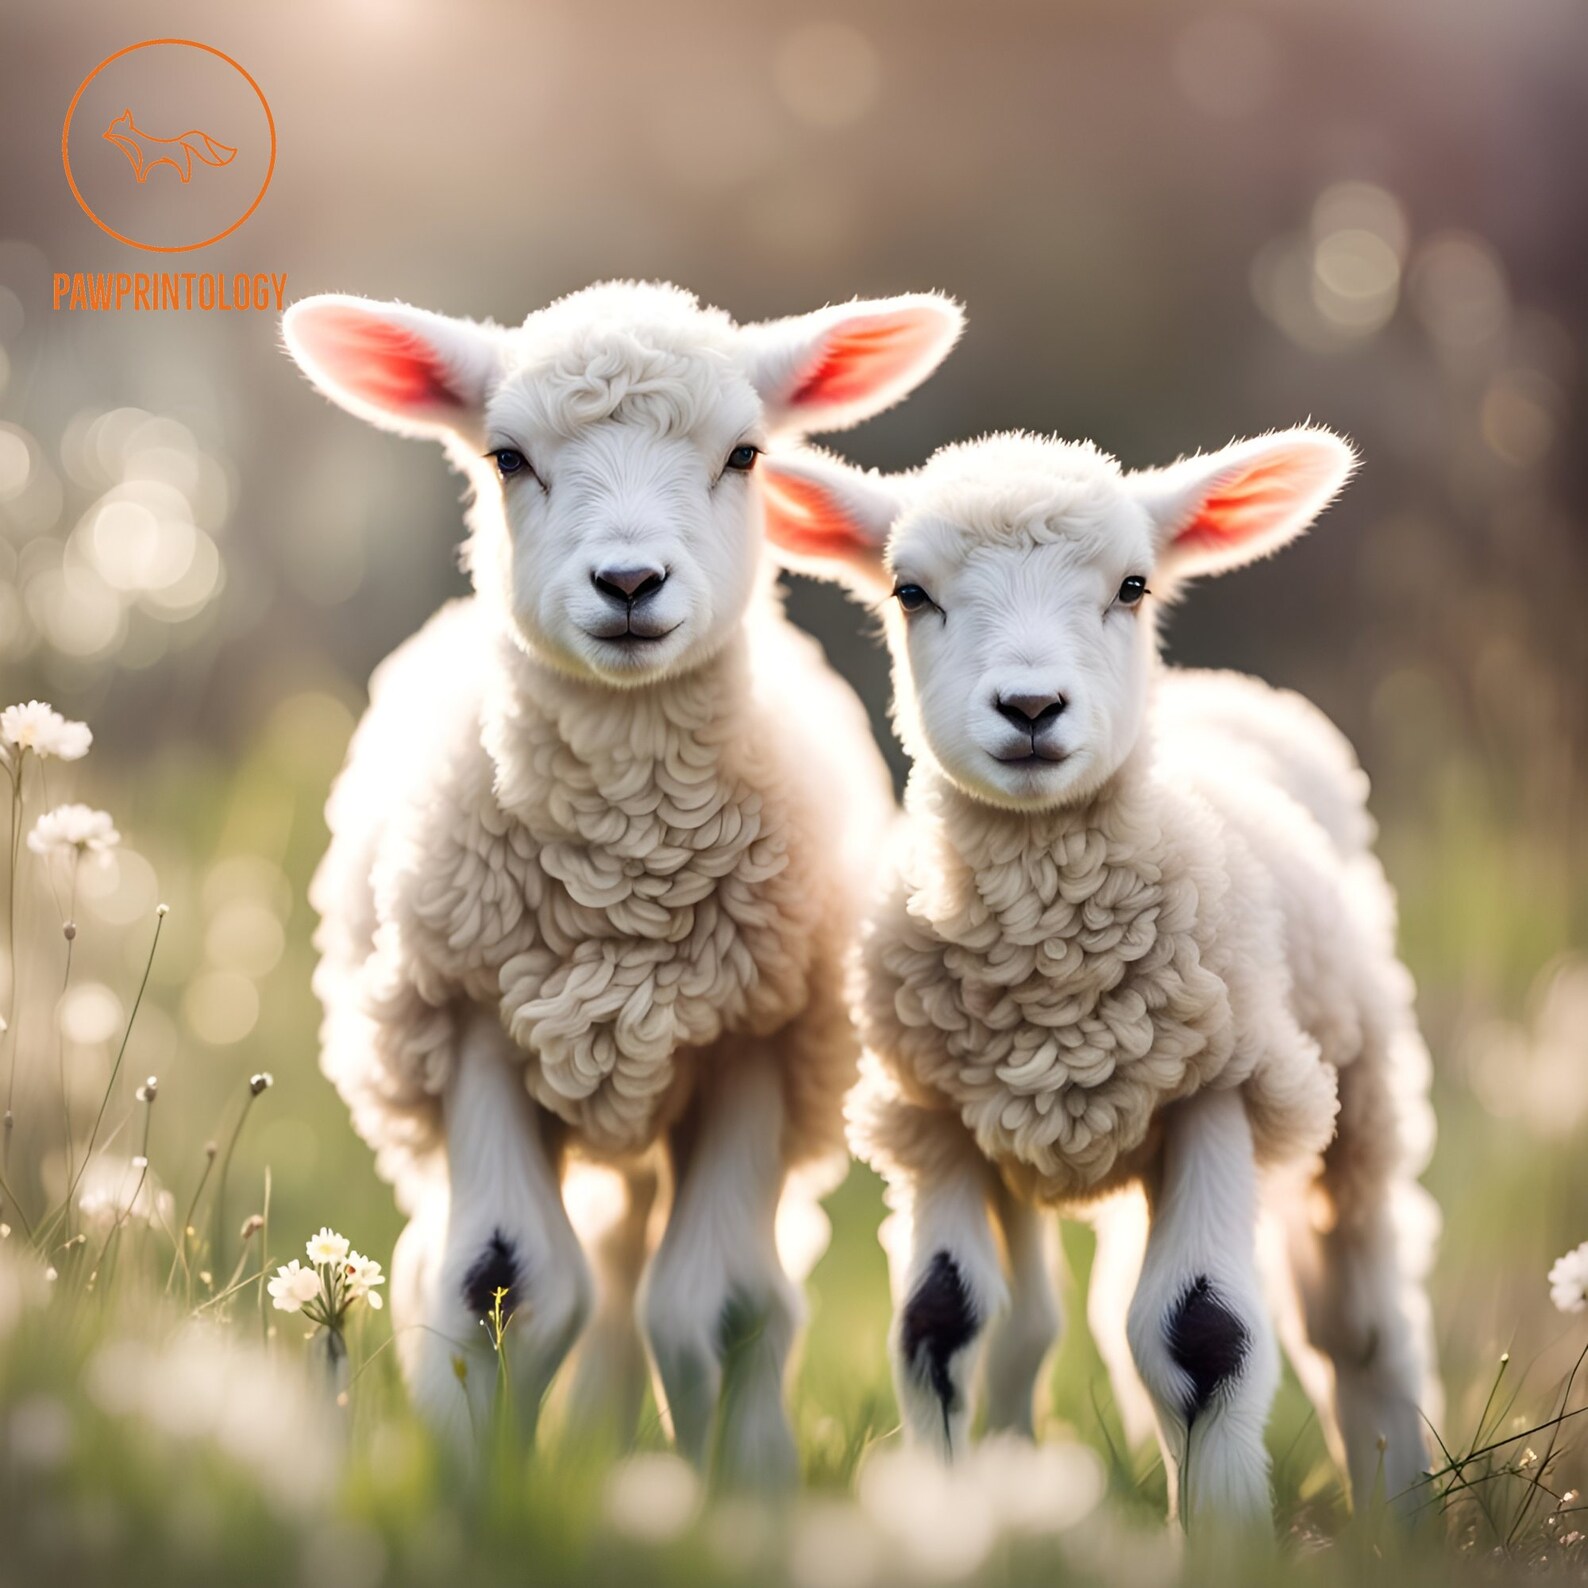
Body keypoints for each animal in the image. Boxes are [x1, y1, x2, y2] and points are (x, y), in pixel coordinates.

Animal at [280, 279, 964, 1482]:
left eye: (745, 454)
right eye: (508, 457)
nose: (631, 582)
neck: (624, 884)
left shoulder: (758, 1036)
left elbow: (718, 1302)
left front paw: (738, 1492)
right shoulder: (470, 1016)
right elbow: (498, 1280)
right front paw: (479, 1486)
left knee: (627, 1269)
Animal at [756, 428, 1440, 1528]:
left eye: (1132, 585)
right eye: (910, 591)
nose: (1031, 707)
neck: (1052, 979)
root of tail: (1223, 691)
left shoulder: (1222, 1087)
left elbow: (1202, 1331)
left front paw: (1222, 1535)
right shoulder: (932, 1114)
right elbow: (940, 1323)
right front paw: (950, 1514)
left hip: (1359, 1092)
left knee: (1360, 1323)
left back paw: (1401, 1508)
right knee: (1036, 1324)